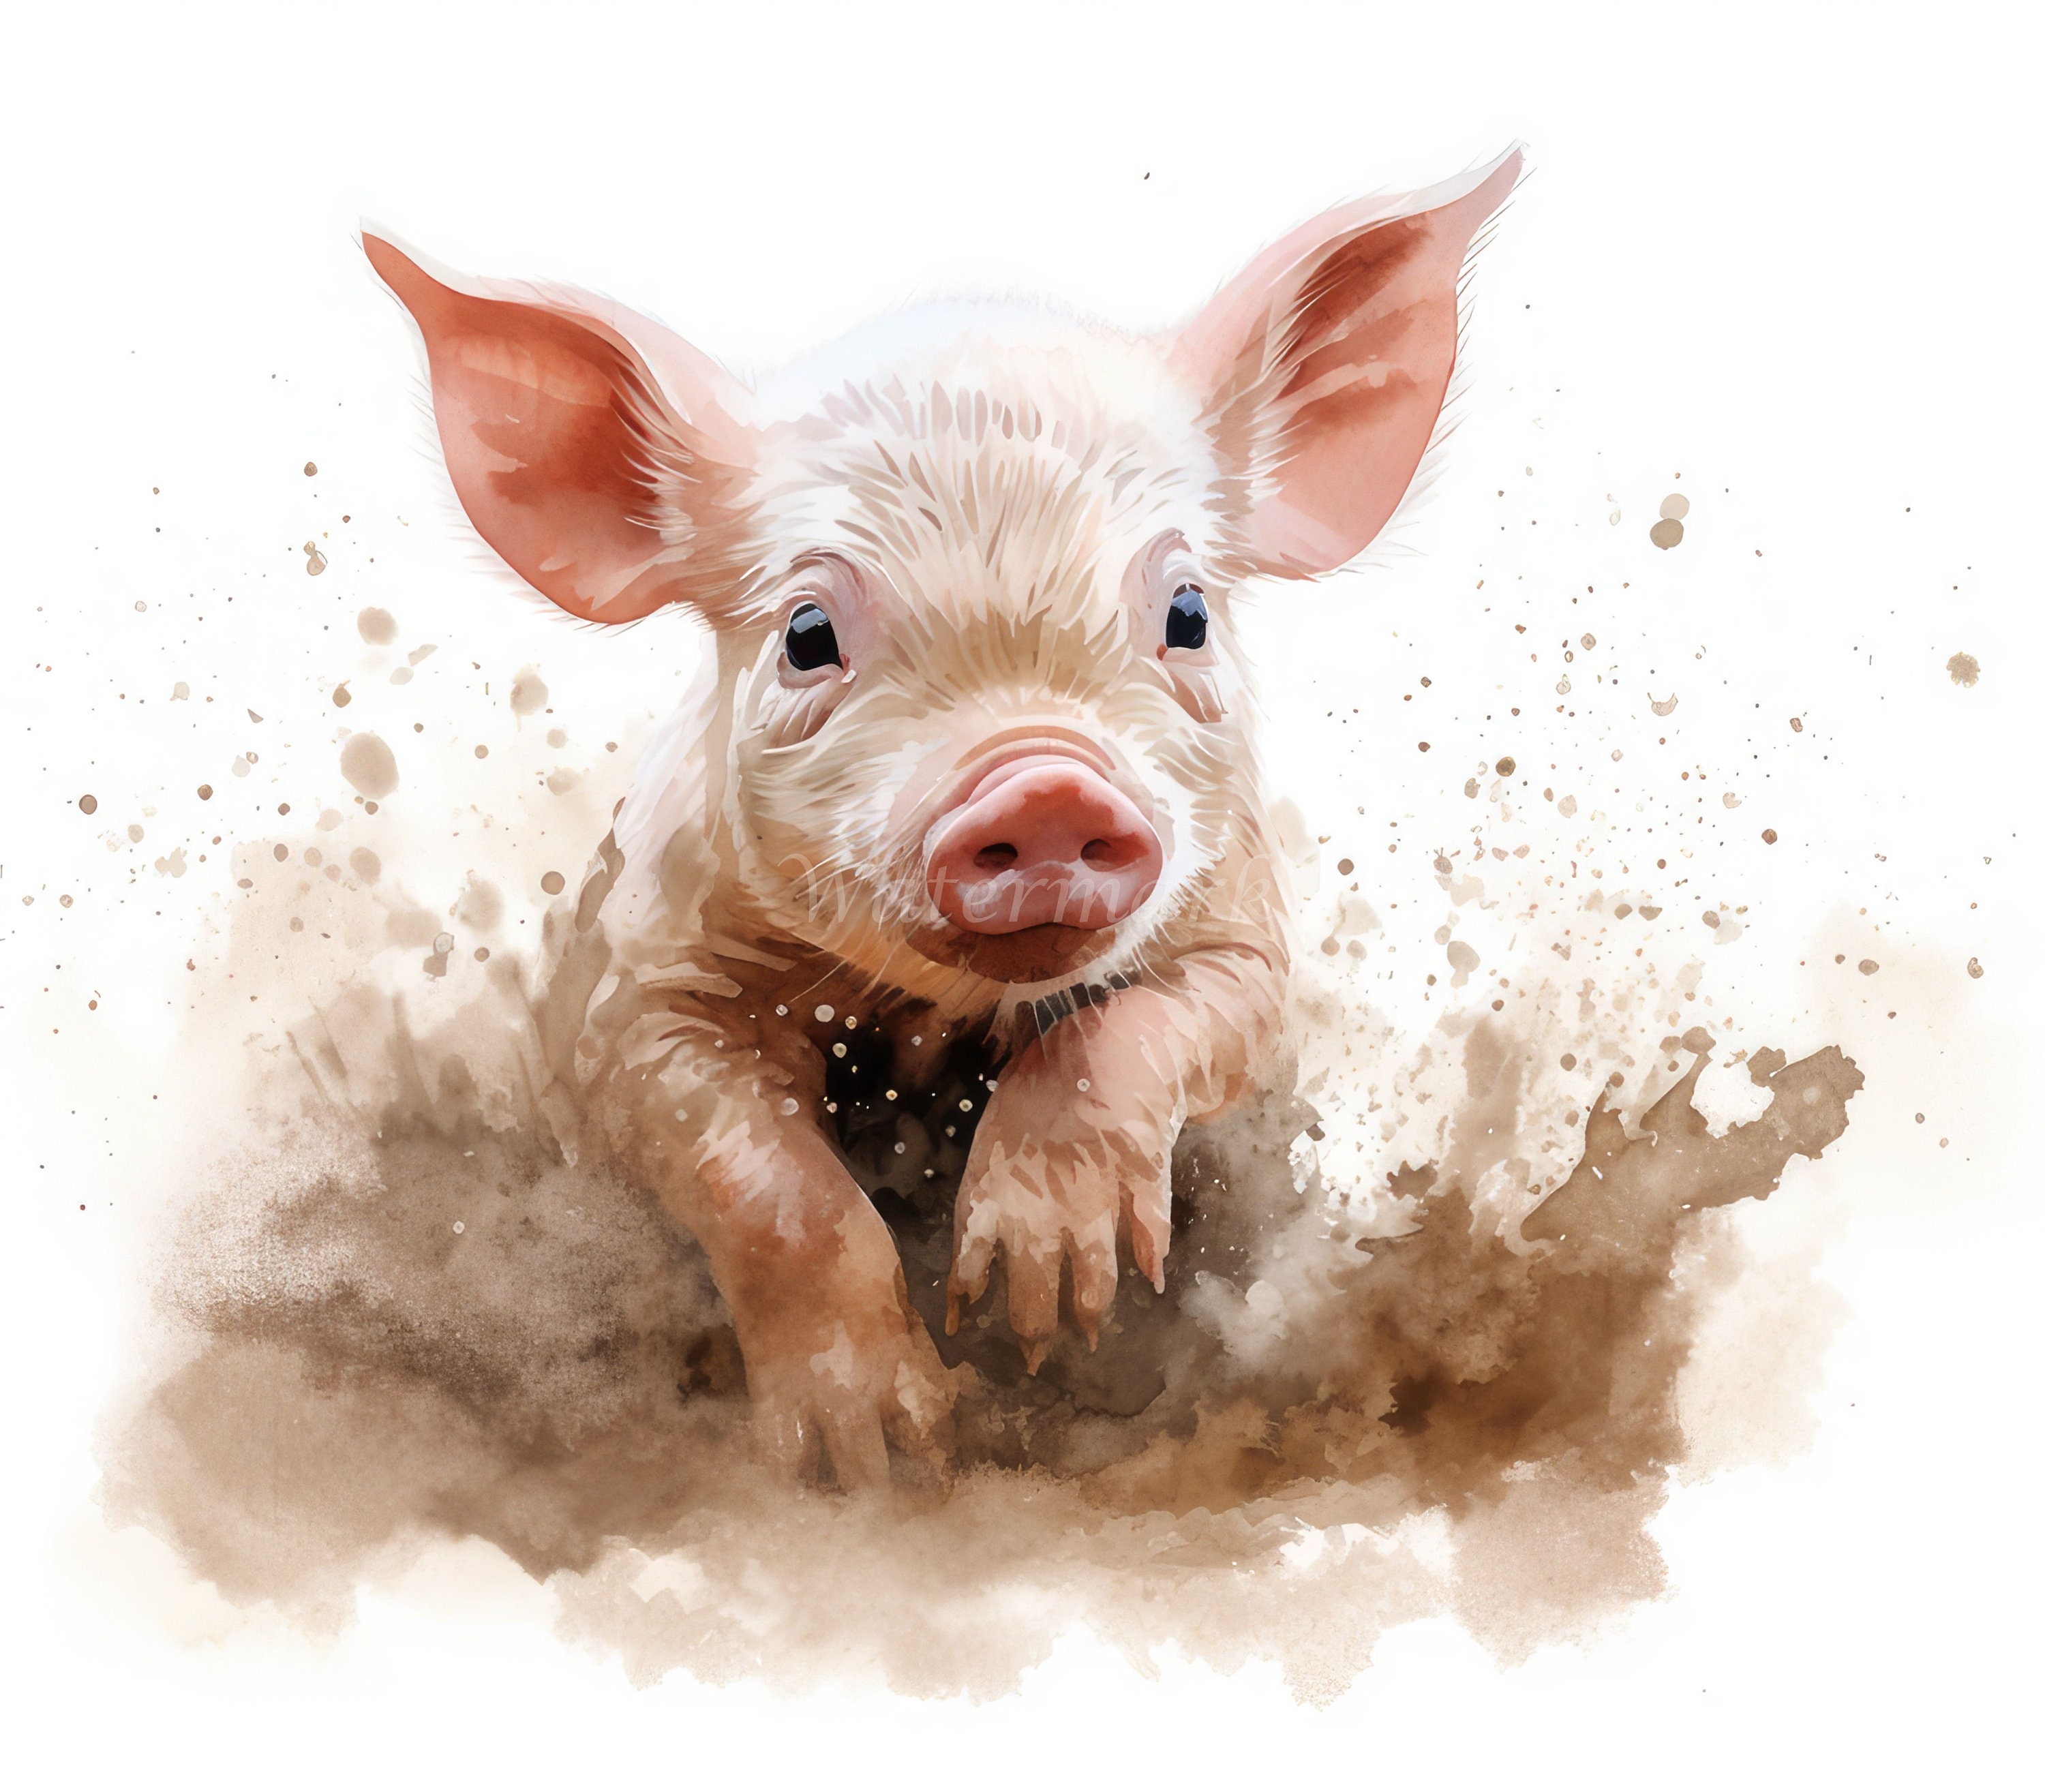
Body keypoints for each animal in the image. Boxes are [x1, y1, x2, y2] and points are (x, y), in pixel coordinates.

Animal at [363, 146, 1520, 1489]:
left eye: (1186, 611)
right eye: (808, 633)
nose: (1047, 784)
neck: (932, 1011)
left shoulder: (1246, 935)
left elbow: (1145, 1025)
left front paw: (1042, 1304)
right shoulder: (629, 990)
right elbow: (768, 1182)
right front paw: (876, 1462)